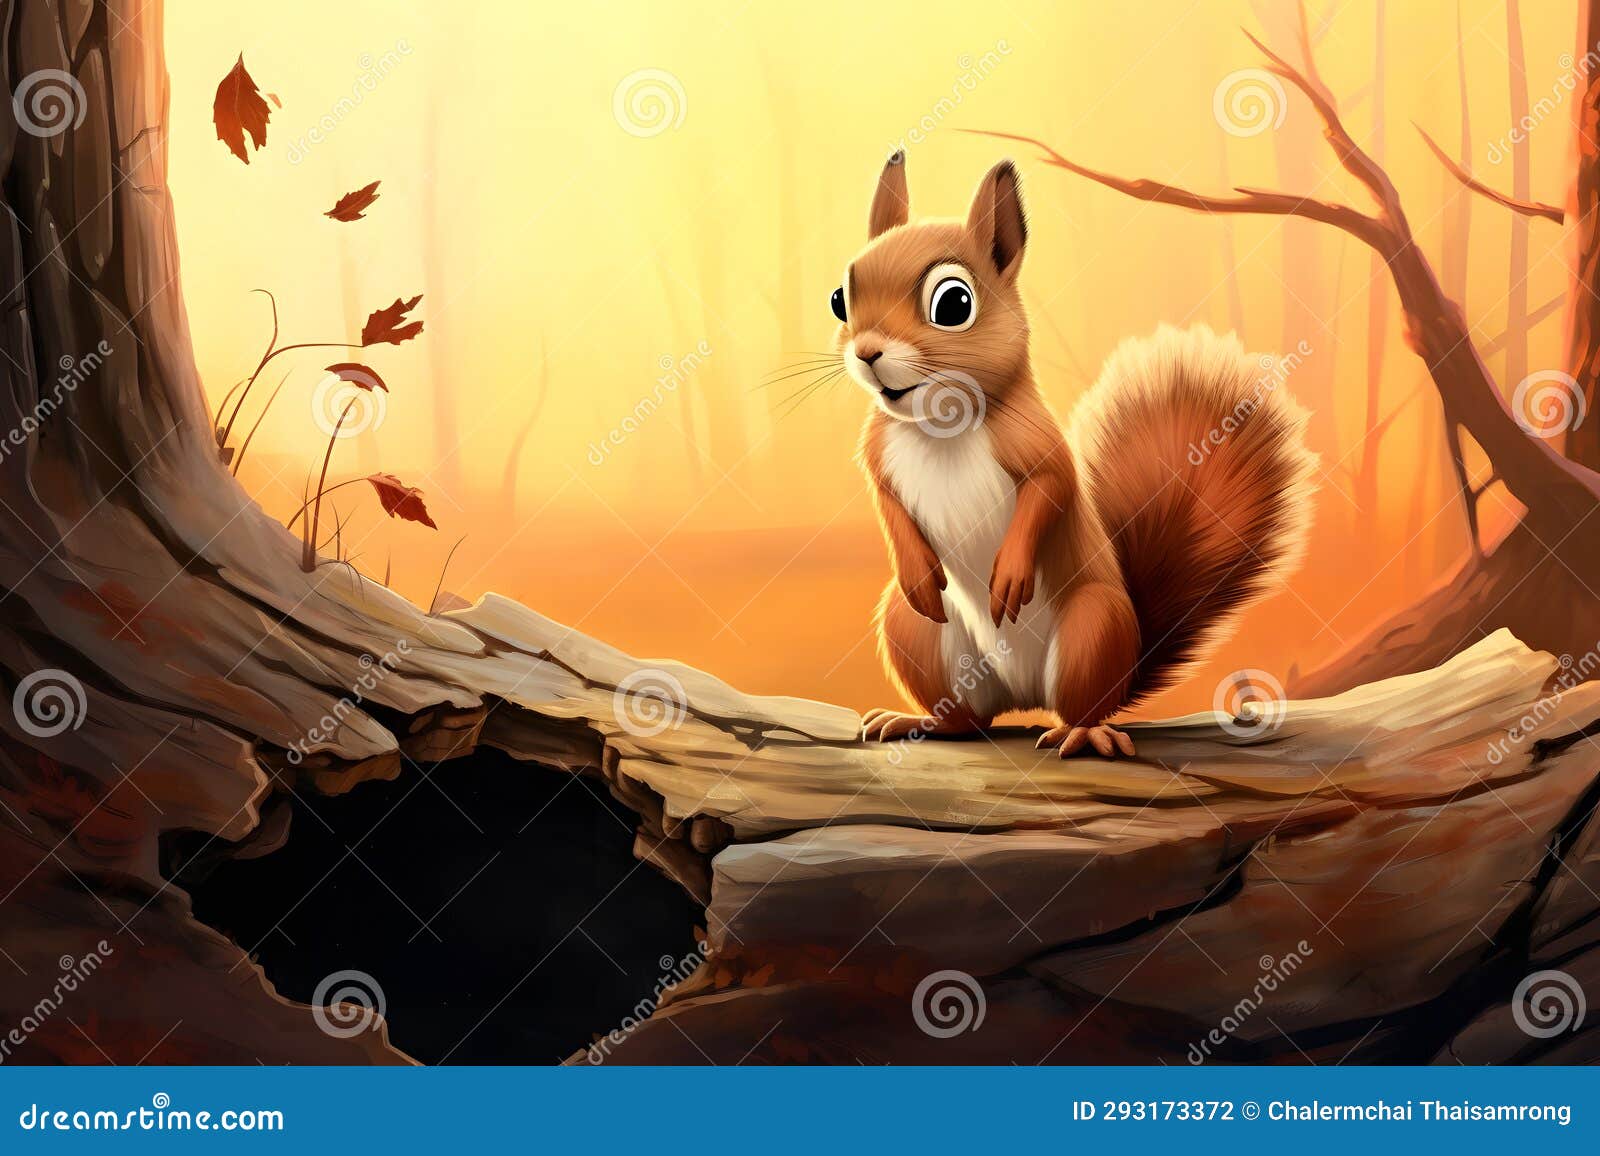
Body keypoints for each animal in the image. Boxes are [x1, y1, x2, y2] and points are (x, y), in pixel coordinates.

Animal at [837, 152, 1318, 758]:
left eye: (953, 303)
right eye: (840, 299)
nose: (867, 353)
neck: (935, 427)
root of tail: (1021, 695)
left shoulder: (1038, 444)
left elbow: (1050, 489)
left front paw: (1010, 573)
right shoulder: (878, 452)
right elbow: (888, 504)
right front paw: (917, 570)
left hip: (1094, 625)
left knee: (1084, 704)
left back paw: (1084, 732)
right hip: (915, 632)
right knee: (967, 718)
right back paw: (922, 721)